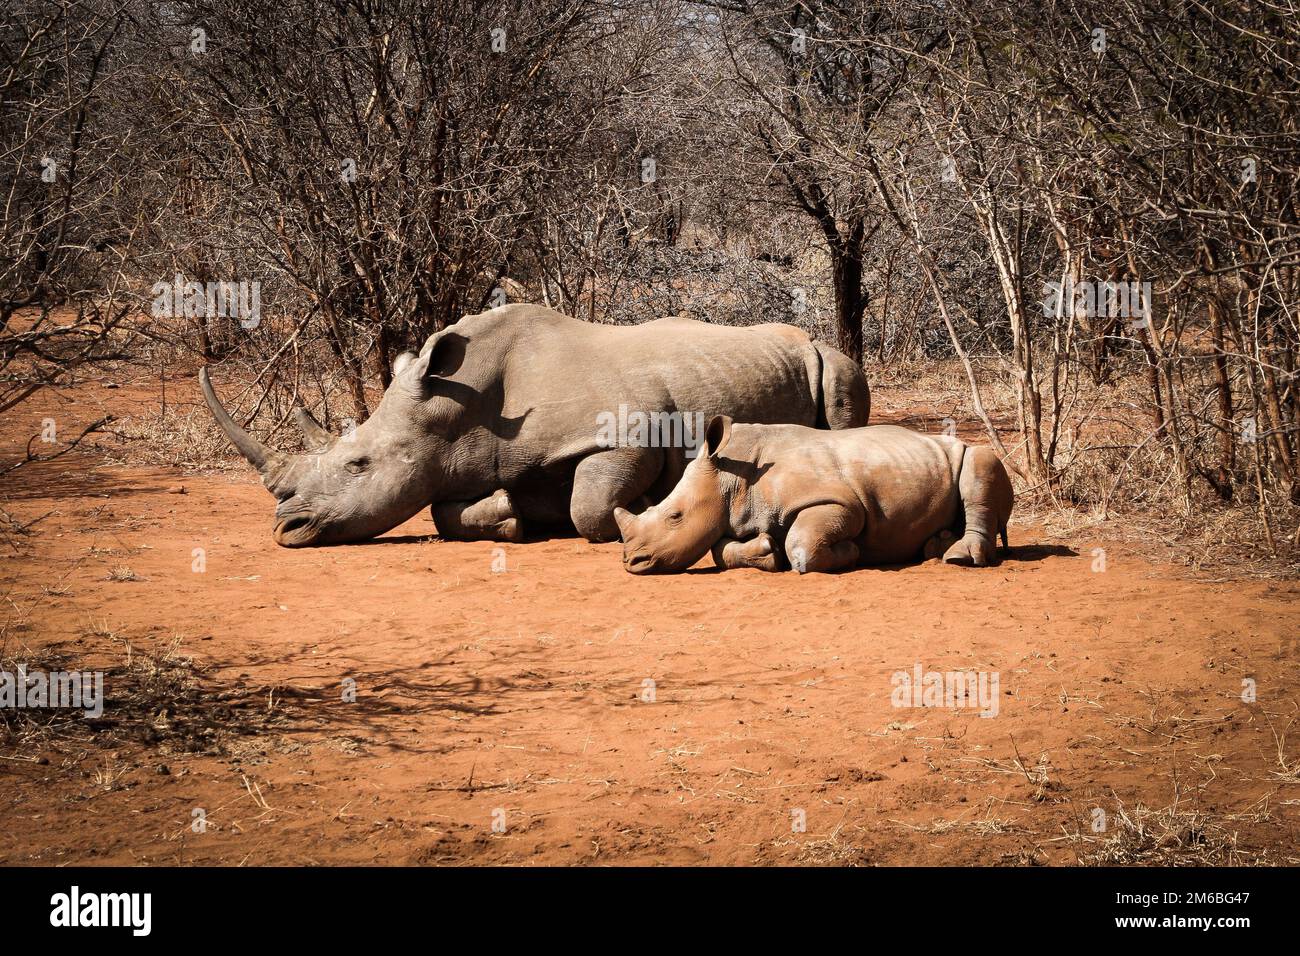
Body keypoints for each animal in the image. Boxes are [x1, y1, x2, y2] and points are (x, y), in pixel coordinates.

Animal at [200, 304, 870, 547]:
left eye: (357, 465)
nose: (285, 528)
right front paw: (509, 517)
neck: (459, 408)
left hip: (831, 361)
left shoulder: (625, 433)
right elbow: (445, 510)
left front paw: (642, 508)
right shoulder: (486, 459)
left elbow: (590, 506)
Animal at [614, 416, 1013, 574]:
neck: (732, 477)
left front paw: (851, 553)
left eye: (675, 516)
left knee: (979, 462)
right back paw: (935, 546)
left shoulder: (841, 502)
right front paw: (766, 551)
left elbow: (802, 543)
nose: (631, 562)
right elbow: (718, 549)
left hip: (968, 452)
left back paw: (958, 558)